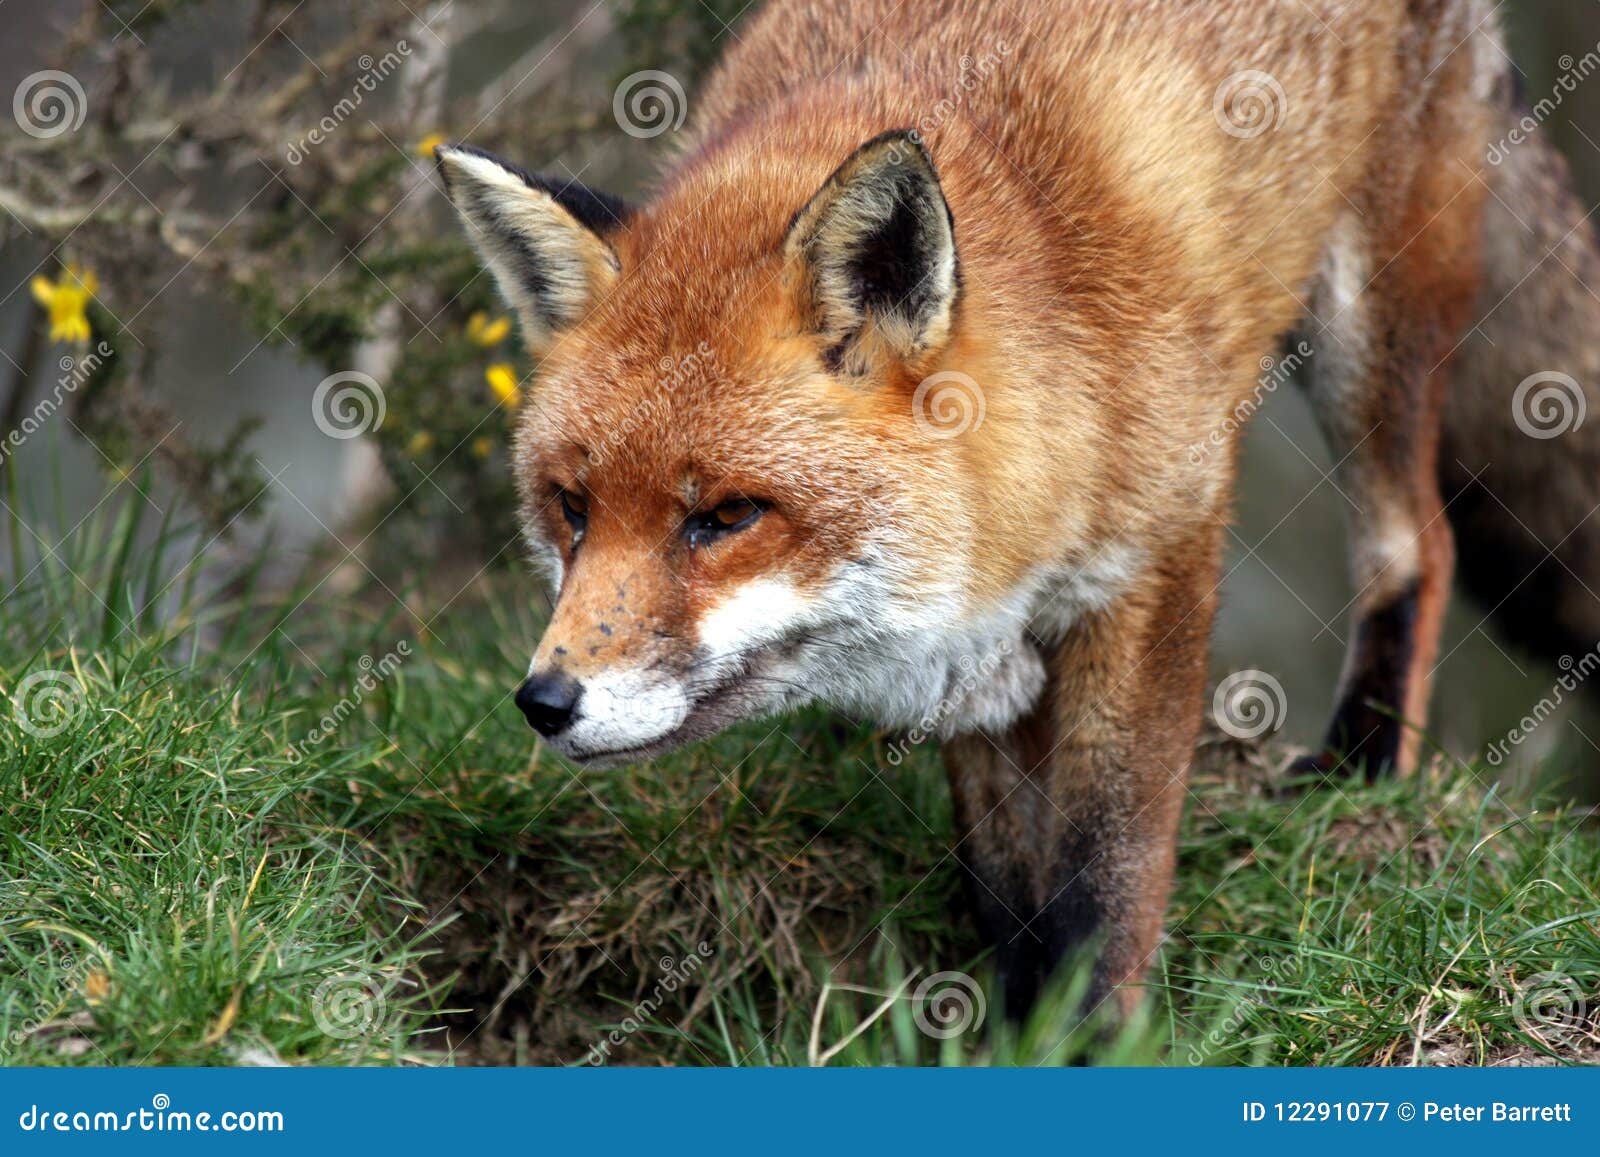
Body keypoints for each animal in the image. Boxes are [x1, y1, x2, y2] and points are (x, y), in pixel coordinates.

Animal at [436, 0, 1600, 1021]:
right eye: (572, 507)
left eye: (725, 515)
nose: (544, 701)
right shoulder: (961, 647)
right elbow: (1008, 887)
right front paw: (1018, 1028)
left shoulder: (1161, 552)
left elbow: (1104, 879)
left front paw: (1093, 1039)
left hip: (1367, 320)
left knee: (1414, 539)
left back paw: (1358, 760)